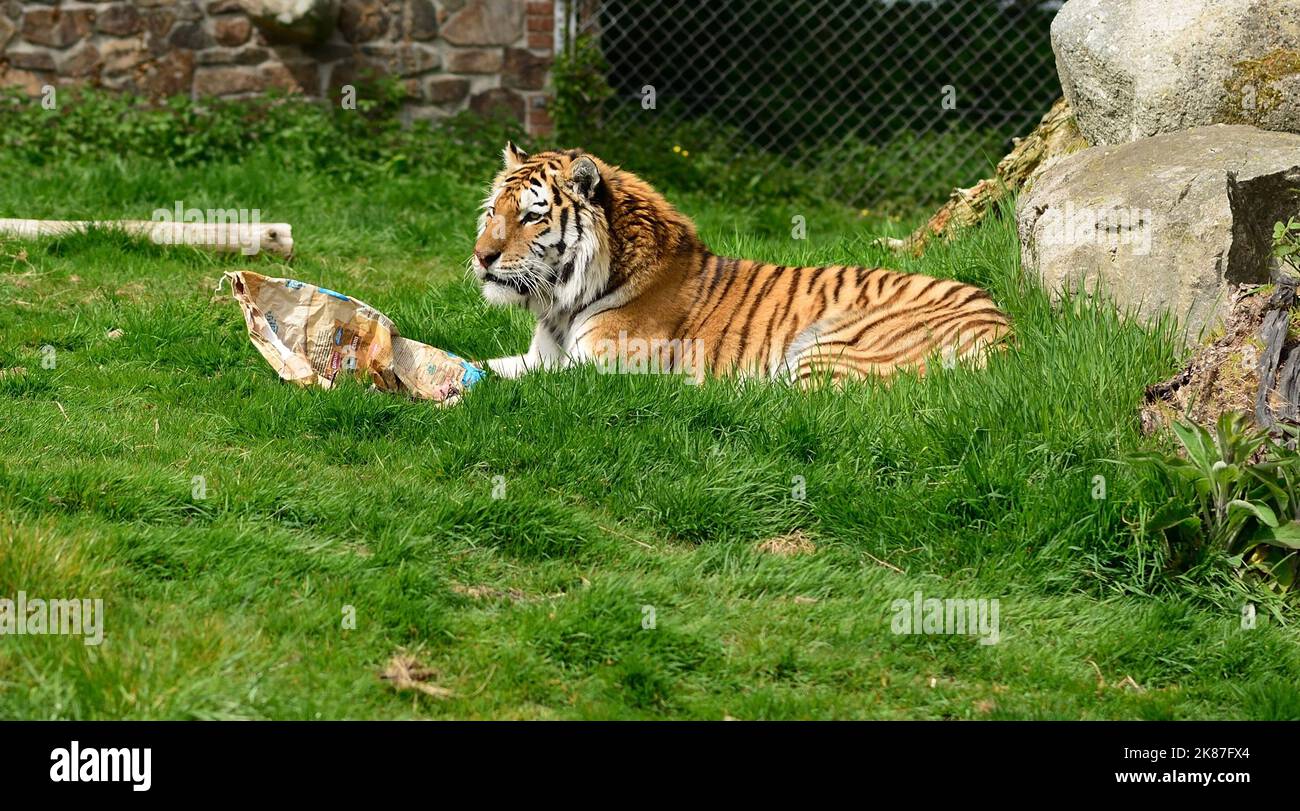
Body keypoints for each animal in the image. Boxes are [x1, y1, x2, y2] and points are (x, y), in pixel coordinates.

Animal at [472, 144, 1010, 384]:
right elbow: (480, 362)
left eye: (532, 215)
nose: (481, 257)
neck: (562, 302)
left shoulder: (598, 369)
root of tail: (1006, 330)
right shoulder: (543, 356)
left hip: (835, 348)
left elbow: (510, 384)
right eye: (494, 210)